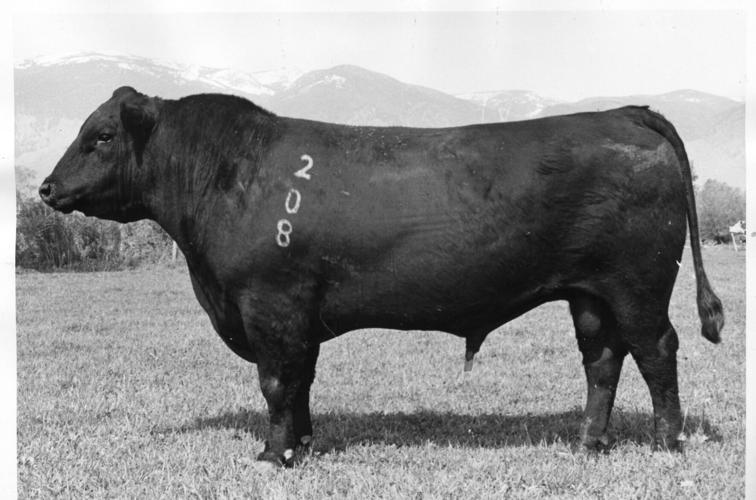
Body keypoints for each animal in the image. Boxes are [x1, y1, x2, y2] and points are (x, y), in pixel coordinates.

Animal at [40, 86, 724, 466]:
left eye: (101, 135)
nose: (45, 187)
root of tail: (623, 114)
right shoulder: (297, 317)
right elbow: (301, 383)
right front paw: (303, 446)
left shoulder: (269, 307)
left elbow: (275, 383)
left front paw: (273, 455)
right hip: (590, 294)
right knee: (603, 359)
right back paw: (588, 444)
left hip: (638, 286)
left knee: (657, 350)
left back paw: (666, 443)